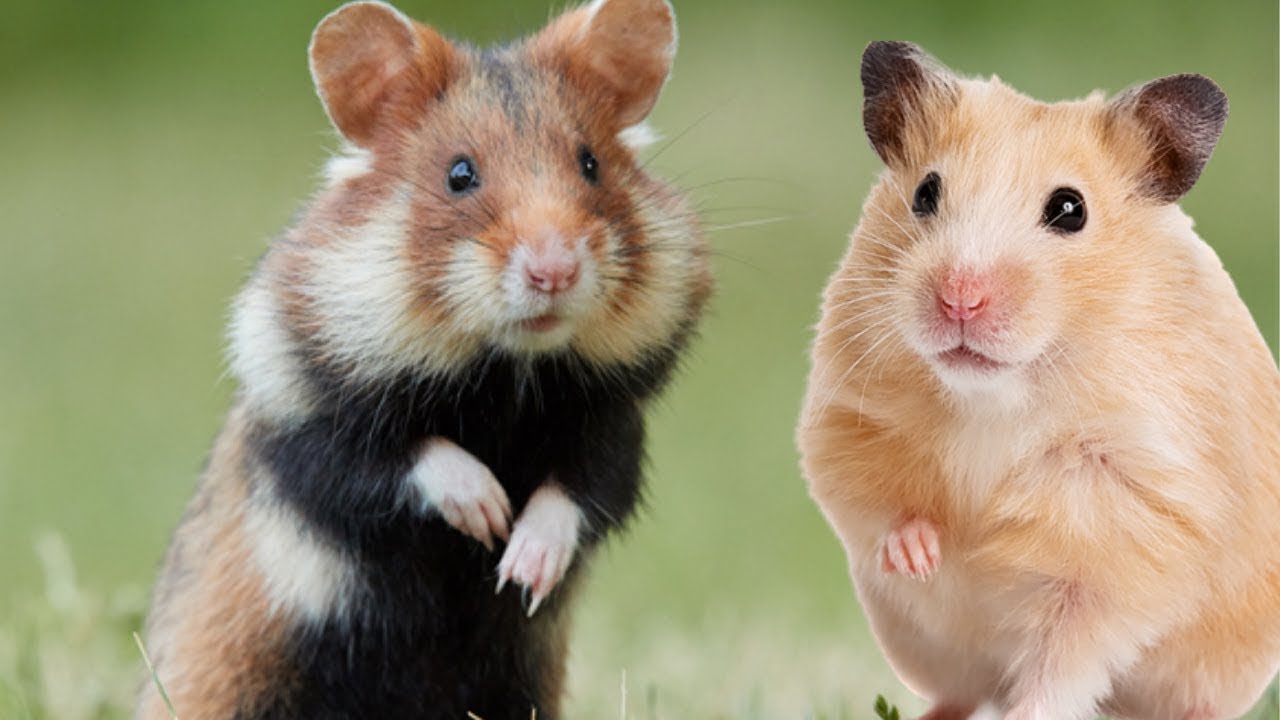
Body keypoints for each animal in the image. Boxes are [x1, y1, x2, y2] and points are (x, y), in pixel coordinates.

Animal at [136, 1, 710, 718]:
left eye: (591, 164)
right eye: (459, 175)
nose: (554, 271)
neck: (506, 372)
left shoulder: (615, 430)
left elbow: (577, 494)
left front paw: (519, 570)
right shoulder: (307, 422)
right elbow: (407, 458)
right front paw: (488, 514)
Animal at [797, 41, 1280, 720]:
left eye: (1070, 210)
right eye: (925, 192)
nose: (960, 299)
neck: (997, 395)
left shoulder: (1128, 528)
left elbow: (1064, 657)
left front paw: (994, 547)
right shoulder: (847, 414)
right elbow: (873, 497)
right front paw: (923, 557)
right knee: (958, 695)